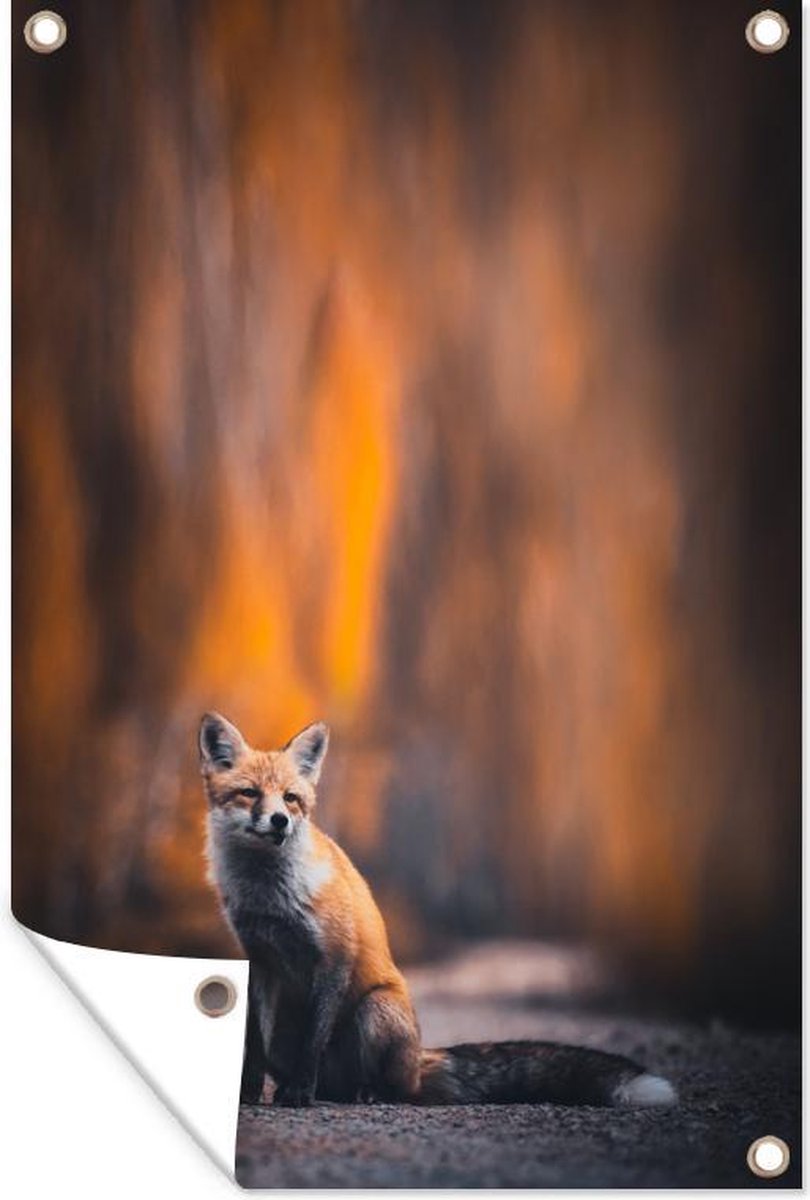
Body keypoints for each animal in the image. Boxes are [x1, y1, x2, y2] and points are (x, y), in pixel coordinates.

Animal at [200, 712, 677, 1110]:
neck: (269, 896)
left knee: (397, 1089)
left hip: (375, 1010)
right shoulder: (260, 960)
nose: (279, 821)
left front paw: (298, 1094)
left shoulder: (334, 957)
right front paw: (246, 1095)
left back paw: (364, 1093)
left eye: (291, 799)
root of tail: (419, 1058)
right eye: (249, 794)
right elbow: (252, 1046)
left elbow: (313, 1043)